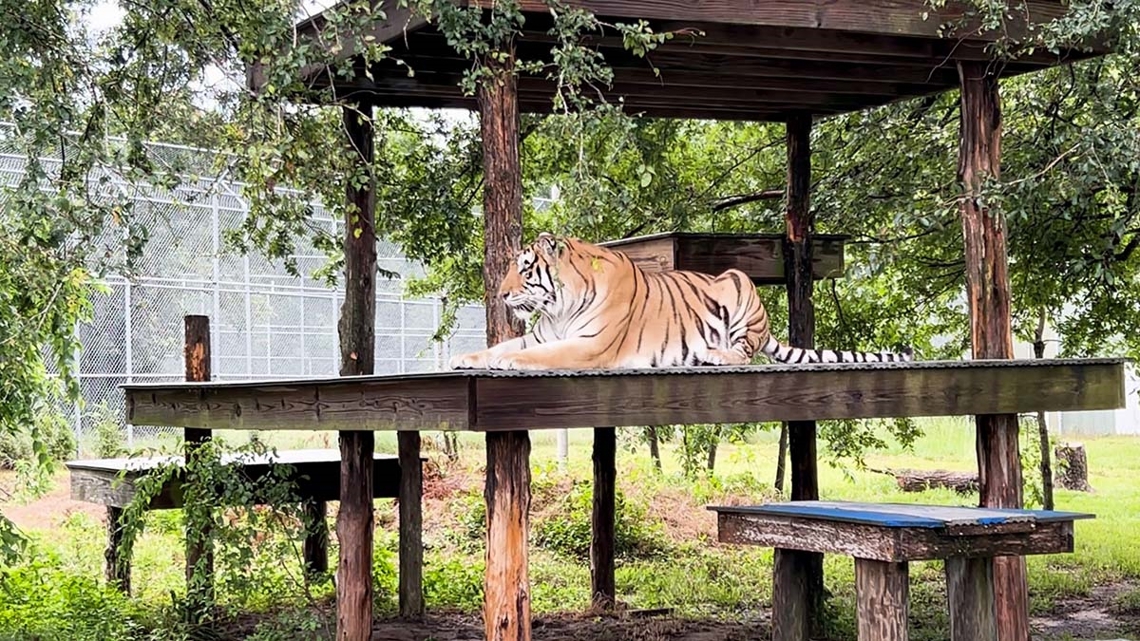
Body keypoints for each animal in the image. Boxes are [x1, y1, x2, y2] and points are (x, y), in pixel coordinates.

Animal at [448, 232, 914, 371]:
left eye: (525, 269)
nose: (501, 293)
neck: (559, 307)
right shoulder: (540, 335)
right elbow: (503, 343)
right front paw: (465, 358)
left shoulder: (589, 346)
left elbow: (533, 355)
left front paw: (506, 362)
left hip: (738, 283)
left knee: (745, 353)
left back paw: (714, 354)